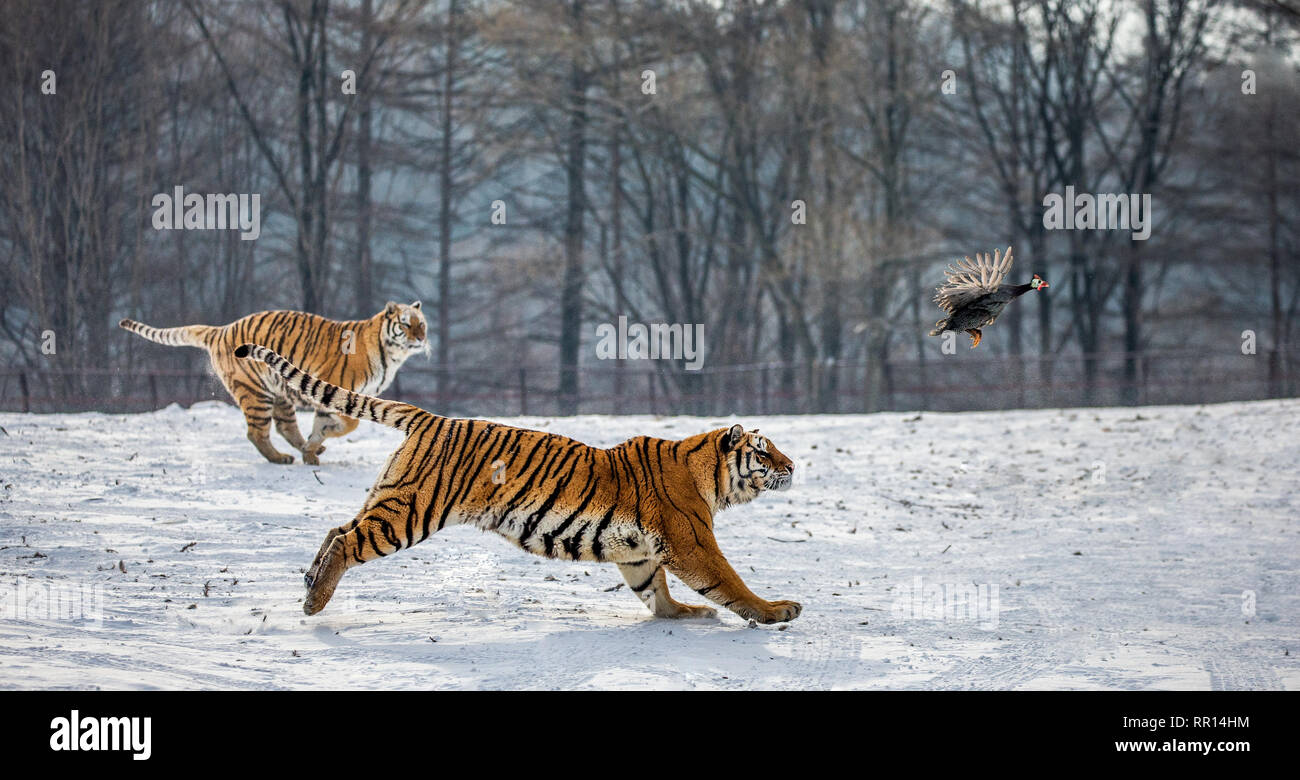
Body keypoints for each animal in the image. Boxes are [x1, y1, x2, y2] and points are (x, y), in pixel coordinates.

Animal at [120, 302, 428, 465]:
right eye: (405, 324)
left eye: (421, 323)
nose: (421, 338)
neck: (392, 355)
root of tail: (221, 329)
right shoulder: (336, 387)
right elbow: (349, 424)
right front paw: (319, 442)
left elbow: (324, 426)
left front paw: (312, 450)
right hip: (256, 393)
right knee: (257, 433)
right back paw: (280, 458)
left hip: (279, 393)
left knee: (285, 426)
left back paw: (302, 450)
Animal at [234, 342, 804, 624]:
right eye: (763, 450)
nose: (793, 465)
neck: (709, 474)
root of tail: (430, 418)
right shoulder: (692, 541)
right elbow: (729, 581)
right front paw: (775, 611)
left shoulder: (638, 551)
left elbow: (653, 590)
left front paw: (682, 614)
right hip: (410, 512)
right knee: (348, 540)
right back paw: (315, 602)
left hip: (390, 496)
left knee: (335, 529)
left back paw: (309, 583)